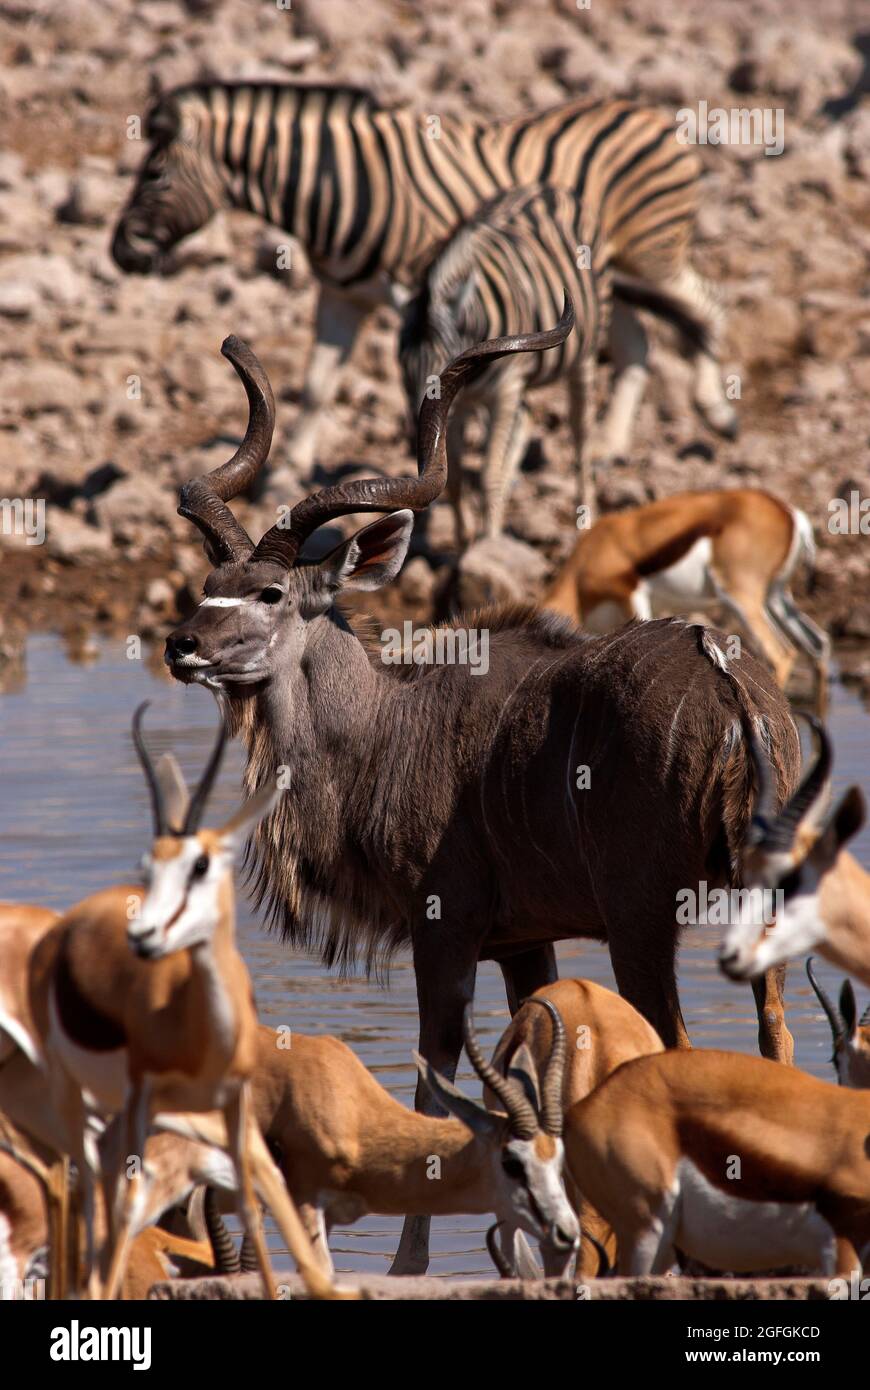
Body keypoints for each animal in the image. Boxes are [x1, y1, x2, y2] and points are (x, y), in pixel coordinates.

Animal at [26, 705, 351, 1301]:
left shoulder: (236, 1106)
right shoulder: (143, 1103)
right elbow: (128, 1203)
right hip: (80, 1095)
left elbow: (256, 1202)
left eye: (203, 865)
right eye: (147, 867)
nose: (144, 937)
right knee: (88, 1186)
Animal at [112, 80, 736, 475]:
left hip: (652, 255)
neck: (339, 183)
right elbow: (316, 386)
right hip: (611, 277)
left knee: (708, 306)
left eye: (155, 174)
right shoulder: (341, 295)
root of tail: (652, 115)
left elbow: (443, 377)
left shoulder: (424, 289)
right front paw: (285, 474)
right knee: (638, 342)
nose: (118, 253)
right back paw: (609, 445)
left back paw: (716, 407)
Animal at [543, 488, 830, 714]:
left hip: (741, 598)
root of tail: (790, 513)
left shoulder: (633, 598)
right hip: (776, 597)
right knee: (818, 643)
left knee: (780, 655)